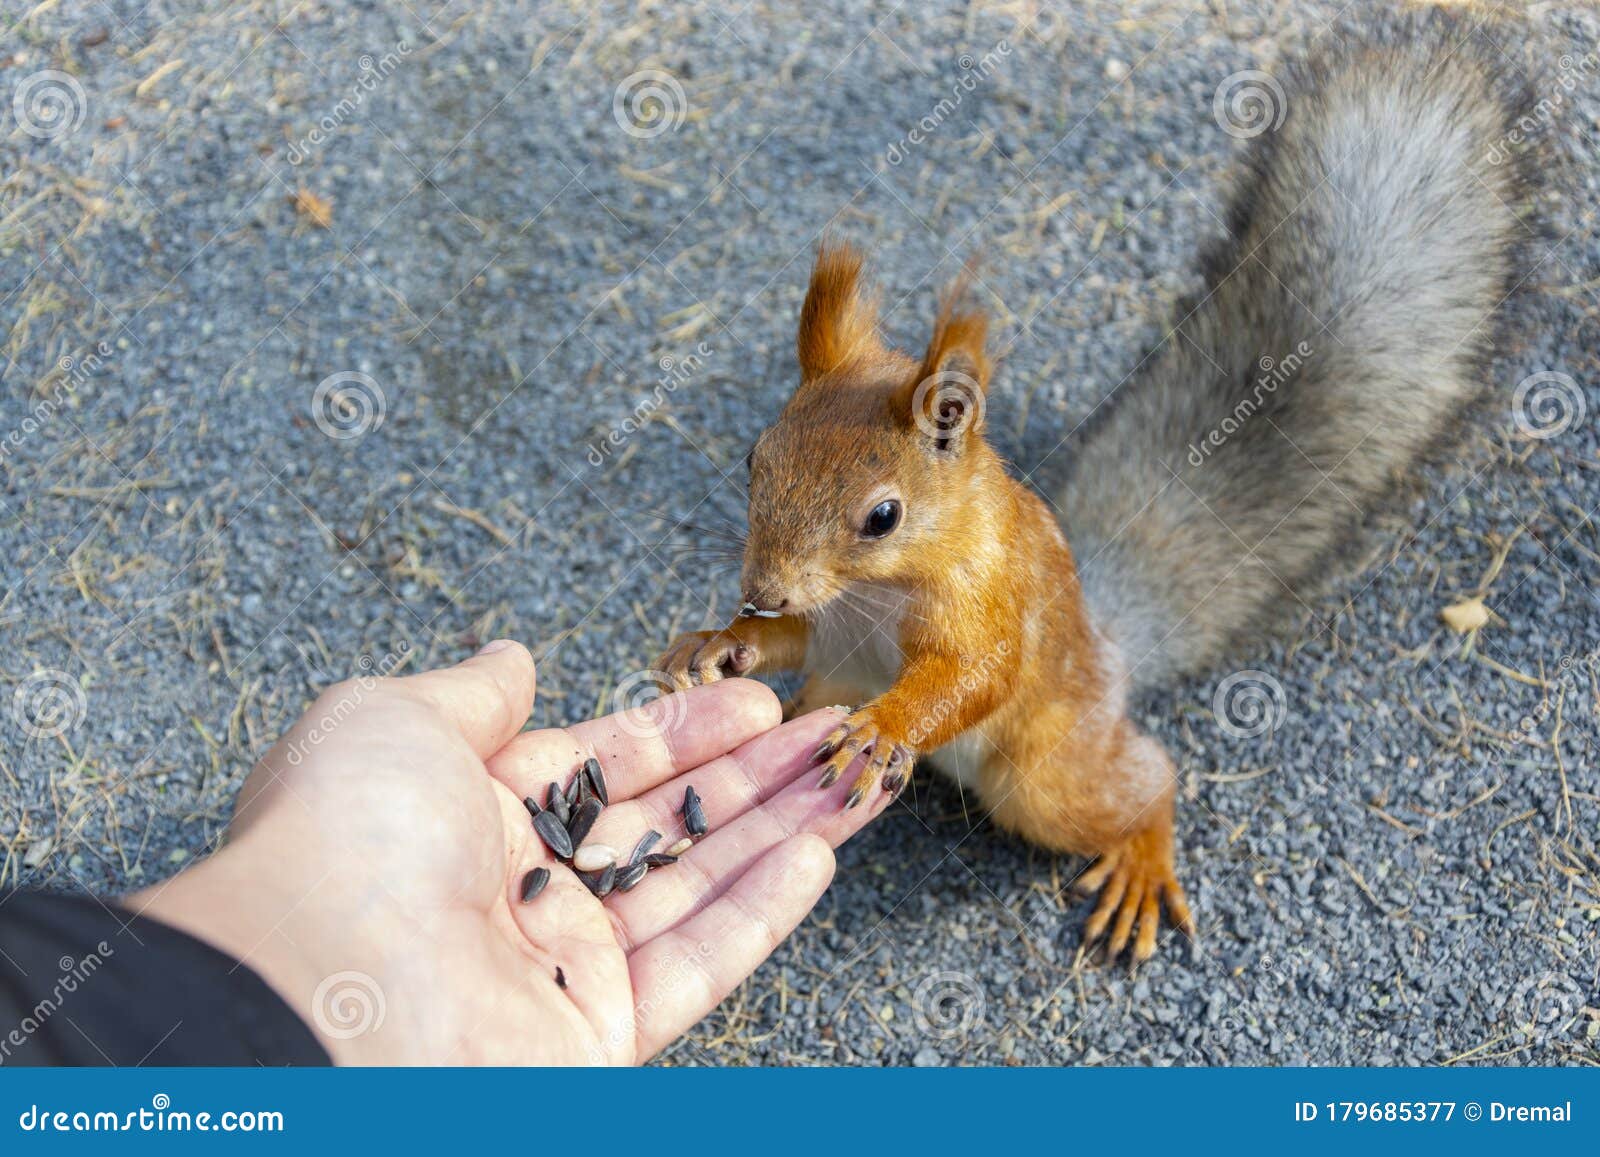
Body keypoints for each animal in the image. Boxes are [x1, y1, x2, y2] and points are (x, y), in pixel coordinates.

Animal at [654, 11, 1540, 961]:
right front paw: (716, 643)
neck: (872, 596)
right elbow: (786, 643)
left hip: (1048, 773)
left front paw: (885, 727)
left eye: (883, 515)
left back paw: (1141, 860)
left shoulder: (993, 606)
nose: (762, 587)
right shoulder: (832, 640)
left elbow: (974, 676)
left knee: (1146, 778)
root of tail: (1112, 663)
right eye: (756, 458)